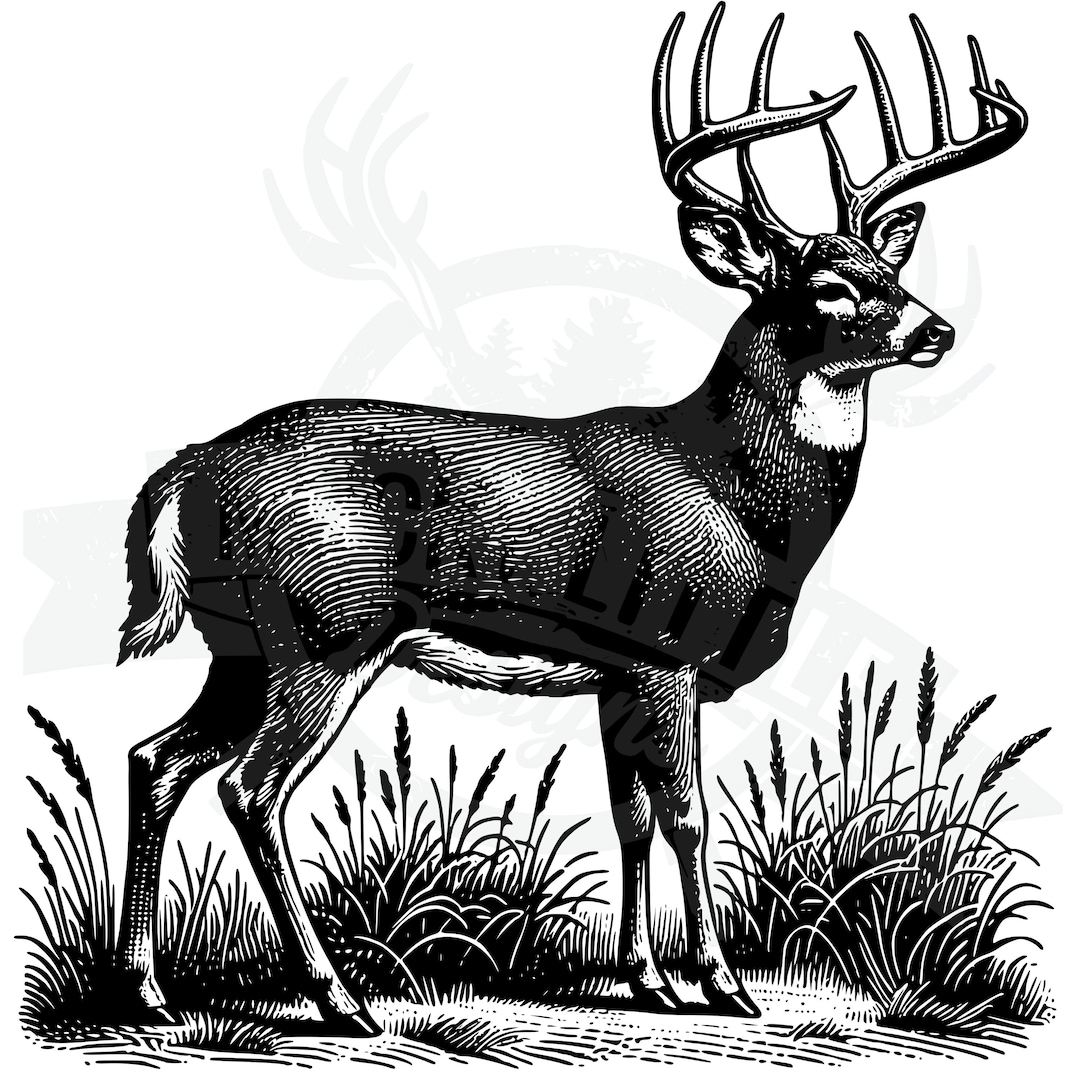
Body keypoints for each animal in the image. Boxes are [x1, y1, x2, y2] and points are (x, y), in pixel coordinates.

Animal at [113, 4, 1025, 1033]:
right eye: (824, 285)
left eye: (886, 268)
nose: (935, 329)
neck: (733, 492)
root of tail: (192, 465)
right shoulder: (666, 653)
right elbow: (687, 816)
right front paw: (721, 982)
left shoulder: (616, 675)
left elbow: (628, 817)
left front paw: (646, 978)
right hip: (322, 630)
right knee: (248, 788)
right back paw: (336, 996)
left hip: (241, 643)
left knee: (158, 758)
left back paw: (147, 988)